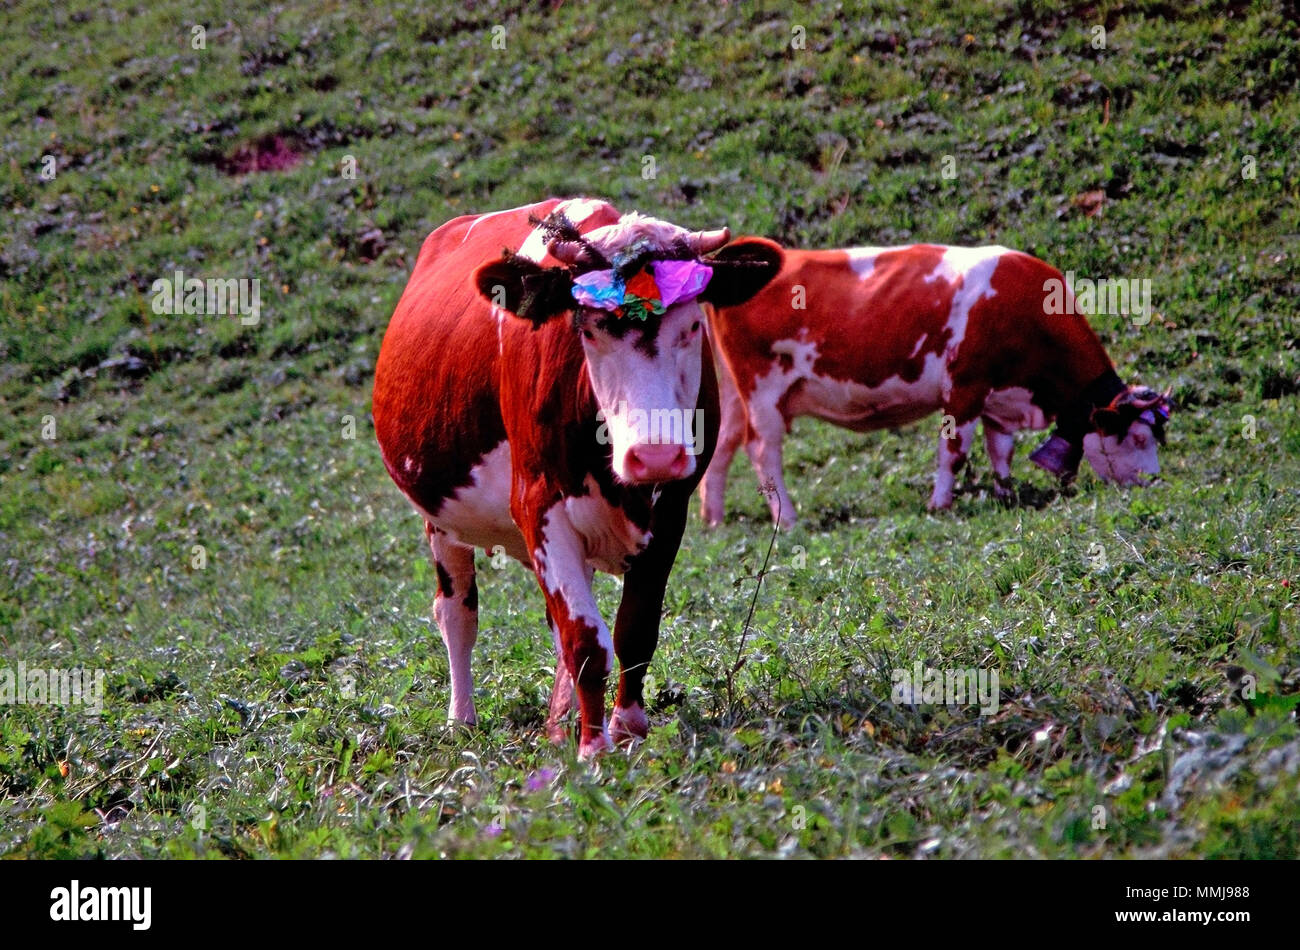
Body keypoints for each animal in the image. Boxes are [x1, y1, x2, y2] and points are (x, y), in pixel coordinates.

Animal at [372, 198, 782, 758]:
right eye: (588, 330)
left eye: (693, 327)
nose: (654, 455)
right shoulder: (539, 507)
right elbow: (585, 639)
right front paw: (593, 749)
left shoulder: (671, 509)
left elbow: (634, 628)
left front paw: (626, 728)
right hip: (440, 517)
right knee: (457, 612)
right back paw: (463, 720)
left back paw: (559, 720)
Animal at [699, 239, 1172, 528]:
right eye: (1135, 437)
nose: (1154, 483)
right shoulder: (965, 388)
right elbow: (955, 453)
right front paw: (940, 504)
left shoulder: (999, 397)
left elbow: (1000, 450)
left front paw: (1006, 494)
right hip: (763, 391)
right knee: (762, 451)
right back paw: (788, 520)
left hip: (734, 392)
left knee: (722, 444)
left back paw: (714, 519)